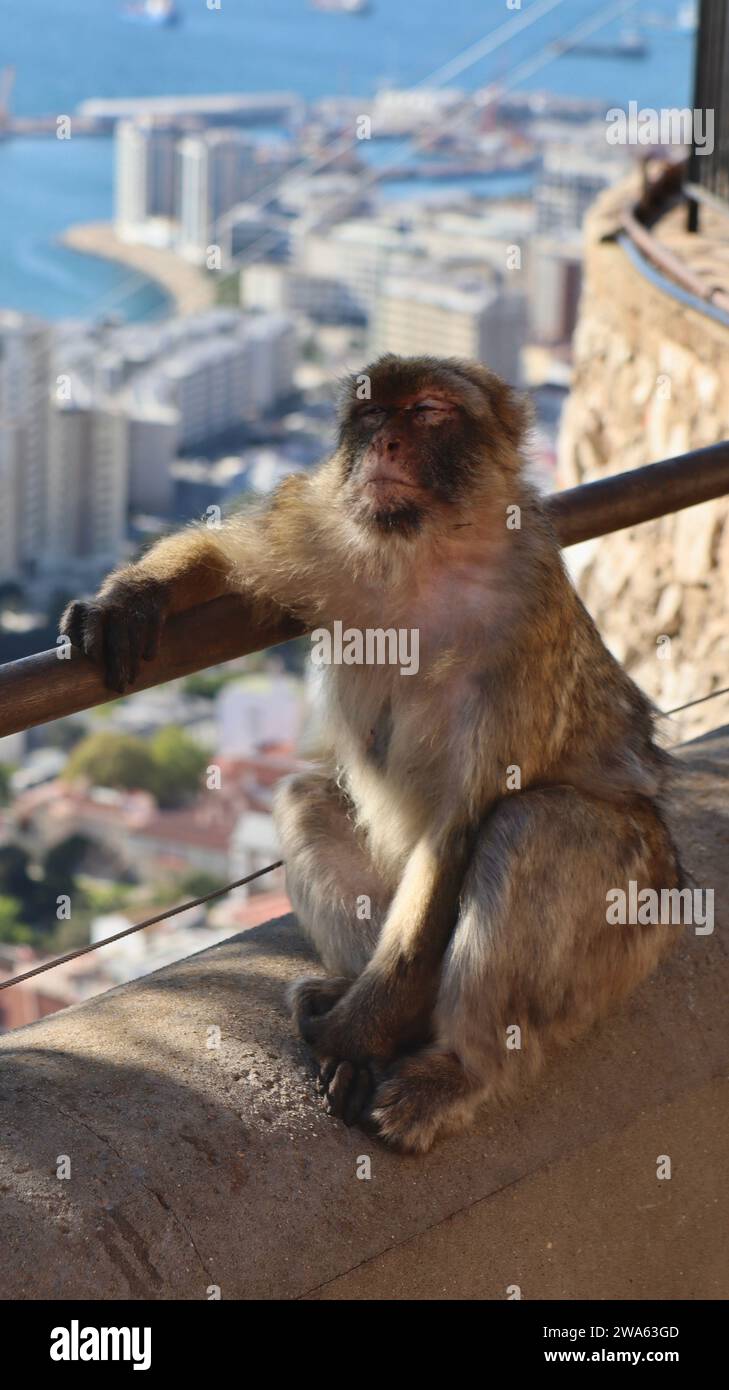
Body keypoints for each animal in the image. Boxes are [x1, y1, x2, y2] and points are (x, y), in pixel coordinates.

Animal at [62, 353, 683, 1153]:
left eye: (426, 411)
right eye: (370, 412)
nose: (385, 443)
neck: (424, 554)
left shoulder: (527, 621)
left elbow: (460, 828)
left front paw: (356, 1037)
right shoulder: (322, 525)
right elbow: (230, 556)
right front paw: (134, 597)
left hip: (630, 926)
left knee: (533, 828)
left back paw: (452, 1065)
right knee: (305, 799)